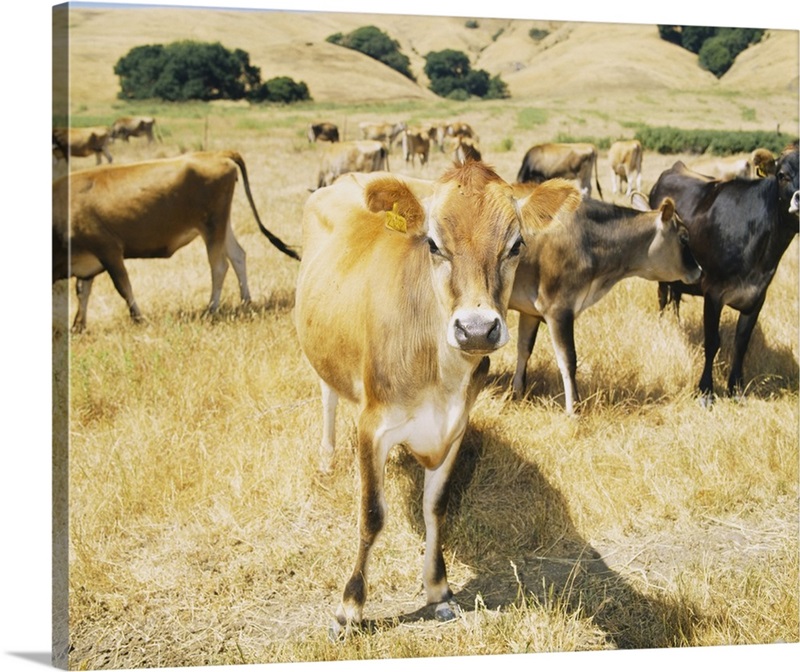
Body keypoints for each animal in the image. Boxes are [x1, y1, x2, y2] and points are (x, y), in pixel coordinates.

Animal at [53, 150, 300, 333]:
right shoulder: (88, 262)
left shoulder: (109, 250)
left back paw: (211, 309)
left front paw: (139, 319)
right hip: (221, 225)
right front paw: (78, 326)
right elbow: (83, 291)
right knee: (238, 256)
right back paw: (245, 301)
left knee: (219, 266)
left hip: (211, 226)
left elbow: (123, 287)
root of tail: (216, 153)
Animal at [295, 161, 581, 636]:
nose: (477, 329)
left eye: (516, 244)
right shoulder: (373, 426)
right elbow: (372, 514)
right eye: (433, 243)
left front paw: (439, 590)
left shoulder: (455, 426)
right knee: (328, 397)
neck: (440, 375)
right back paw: (325, 459)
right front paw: (350, 608)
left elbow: (436, 506)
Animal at [508, 191, 701, 415]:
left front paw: (517, 394)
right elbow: (568, 359)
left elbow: (524, 349)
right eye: (684, 237)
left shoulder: (530, 311)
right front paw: (574, 409)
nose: (699, 271)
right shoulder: (558, 307)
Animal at [649, 145, 799, 405]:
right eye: (782, 175)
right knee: (663, 297)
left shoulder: (757, 296)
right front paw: (706, 391)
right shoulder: (713, 292)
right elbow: (712, 341)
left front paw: (736, 389)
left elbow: (741, 343)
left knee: (676, 297)